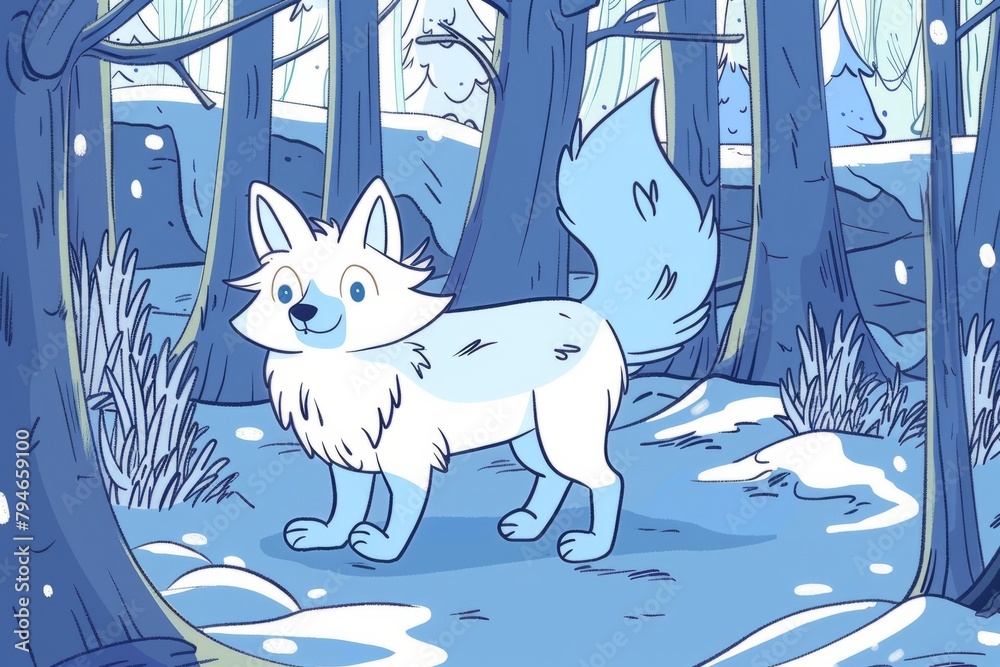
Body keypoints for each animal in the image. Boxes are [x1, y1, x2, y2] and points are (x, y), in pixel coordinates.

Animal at [229, 84, 717, 563]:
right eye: (286, 292)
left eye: (358, 290)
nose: (304, 313)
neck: (342, 373)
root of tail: (595, 315)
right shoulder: (350, 452)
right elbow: (346, 503)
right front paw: (328, 536)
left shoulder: (408, 458)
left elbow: (401, 509)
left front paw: (383, 547)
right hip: (530, 440)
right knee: (555, 479)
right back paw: (529, 527)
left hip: (564, 436)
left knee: (608, 479)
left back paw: (592, 546)